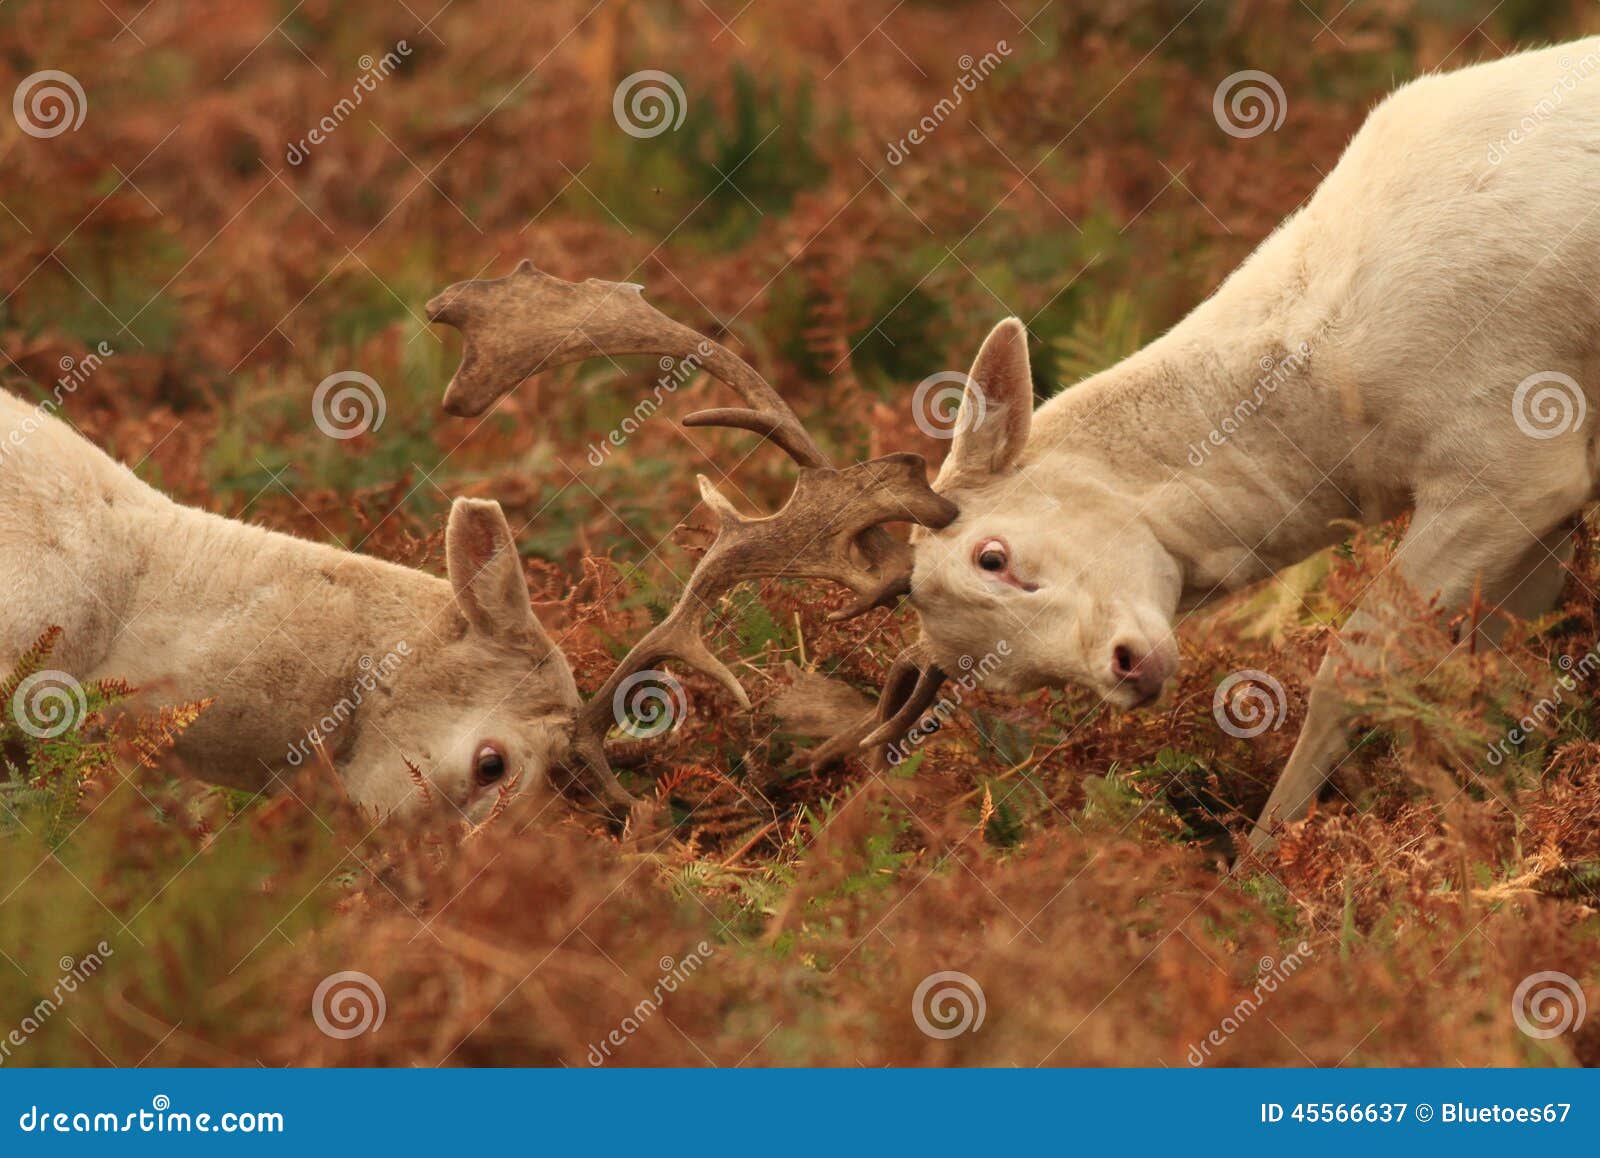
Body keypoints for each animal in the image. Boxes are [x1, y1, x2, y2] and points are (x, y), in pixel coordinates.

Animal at [426, 38, 1600, 854]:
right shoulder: (1540, 507)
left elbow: (1352, 666)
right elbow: (1481, 672)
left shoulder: (1506, 449)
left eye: (993, 555)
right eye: (993, 674)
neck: (1343, 396)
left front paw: (1267, 856)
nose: (1130, 668)